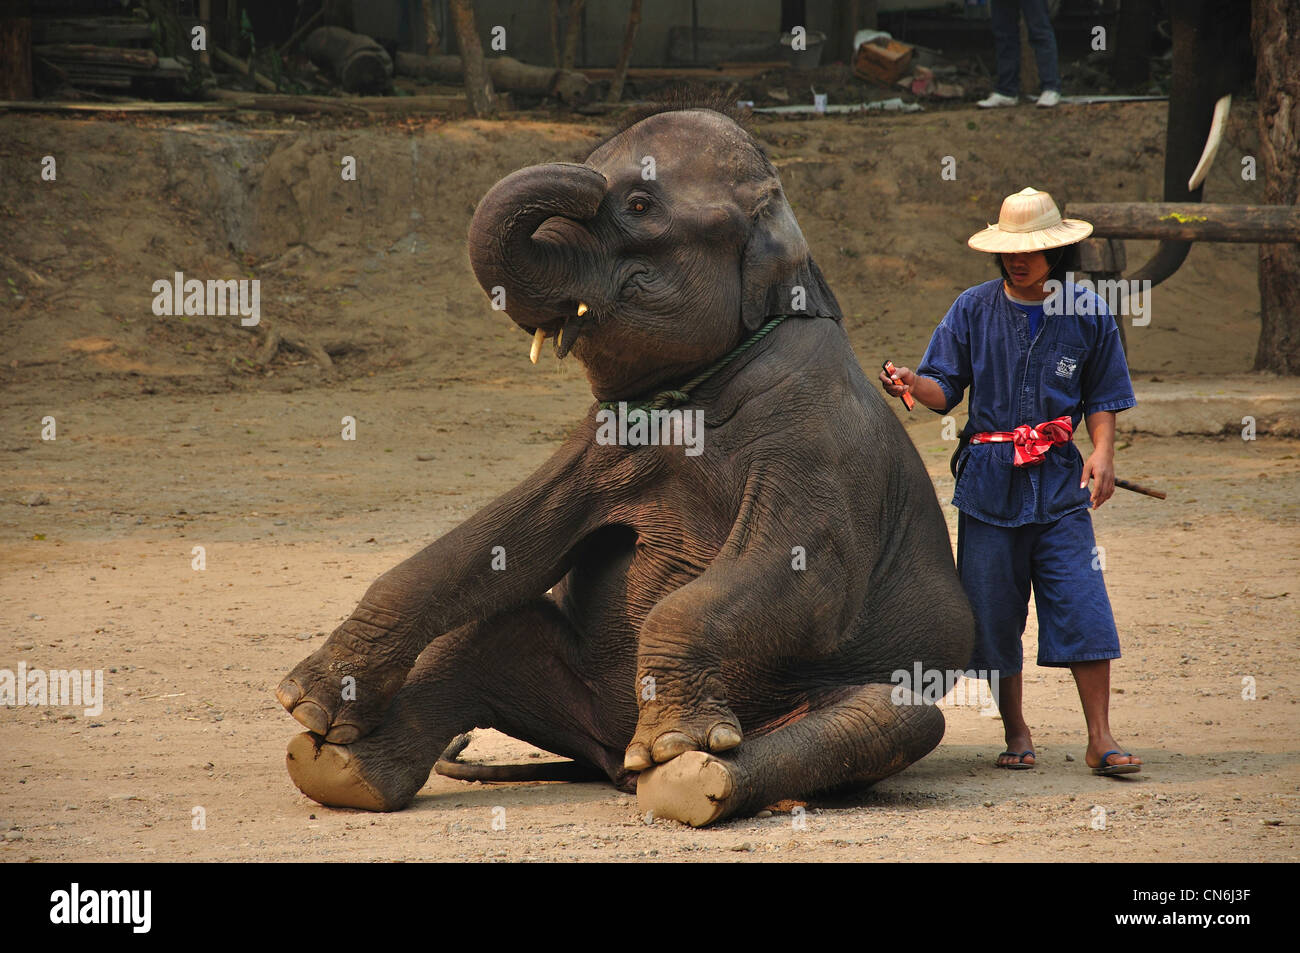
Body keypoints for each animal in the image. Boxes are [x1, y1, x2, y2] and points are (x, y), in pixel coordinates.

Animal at [276, 97, 974, 827]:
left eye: (639, 205)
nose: (582, 173)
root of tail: (607, 761)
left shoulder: (819, 443)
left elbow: (805, 581)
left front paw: (677, 741)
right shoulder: (602, 440)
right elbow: (507, 539)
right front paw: (303, 702)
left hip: (848, 700)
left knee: (890, 719)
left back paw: (684, 770)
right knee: (491, 636)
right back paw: (335, 764)